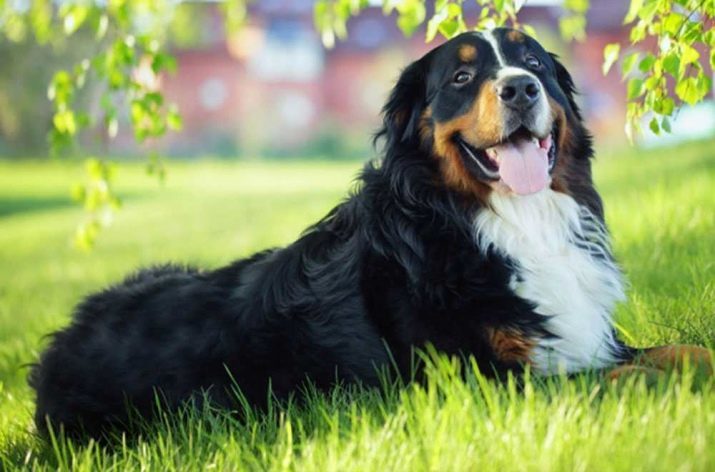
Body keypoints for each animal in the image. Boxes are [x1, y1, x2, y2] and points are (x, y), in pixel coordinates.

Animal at [28, 27, 712, 436]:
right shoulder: (477, 382)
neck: (503, 223)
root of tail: (57, 346)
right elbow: (621, 378)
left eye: (533, 62)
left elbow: (678, 352)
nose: (520, 88)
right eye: (462, 78)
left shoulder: (587, 337)